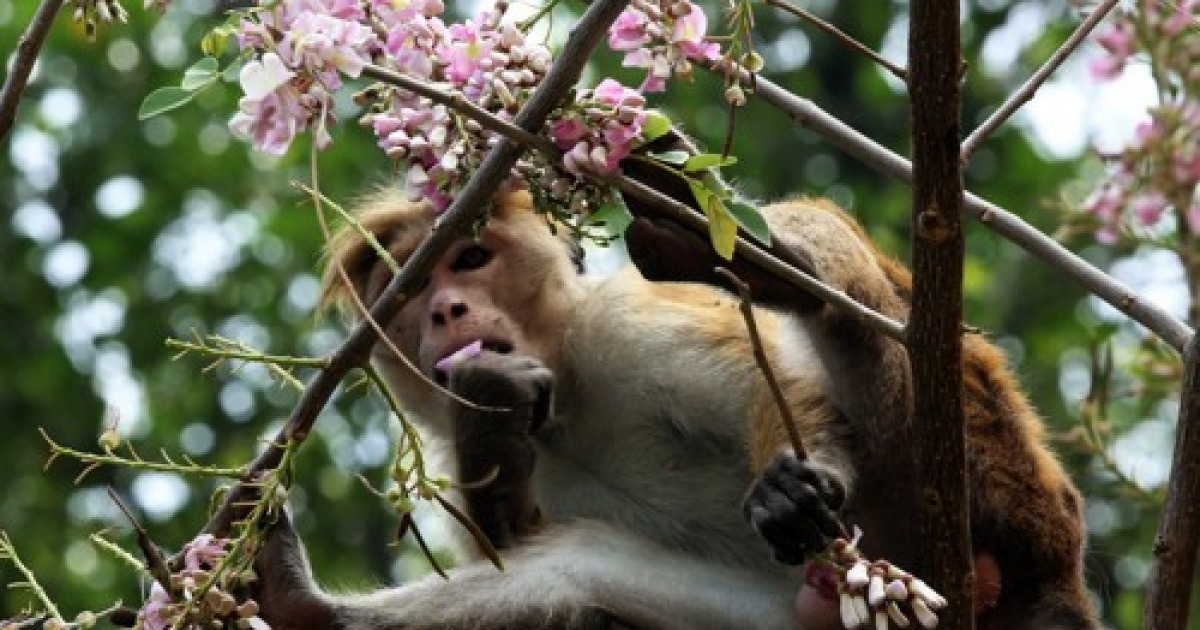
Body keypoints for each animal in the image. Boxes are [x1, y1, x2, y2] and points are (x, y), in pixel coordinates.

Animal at [251, 176, 1097, 629]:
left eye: (471, 259)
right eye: (414, 289)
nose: (446, 312)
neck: (567, 405)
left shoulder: (620, 323)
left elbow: (764, 380)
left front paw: (794, 482)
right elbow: (518, 540)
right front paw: (487, 409)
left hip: (999, 470)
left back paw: (770, 261)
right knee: (572, 571)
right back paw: (301, 605)